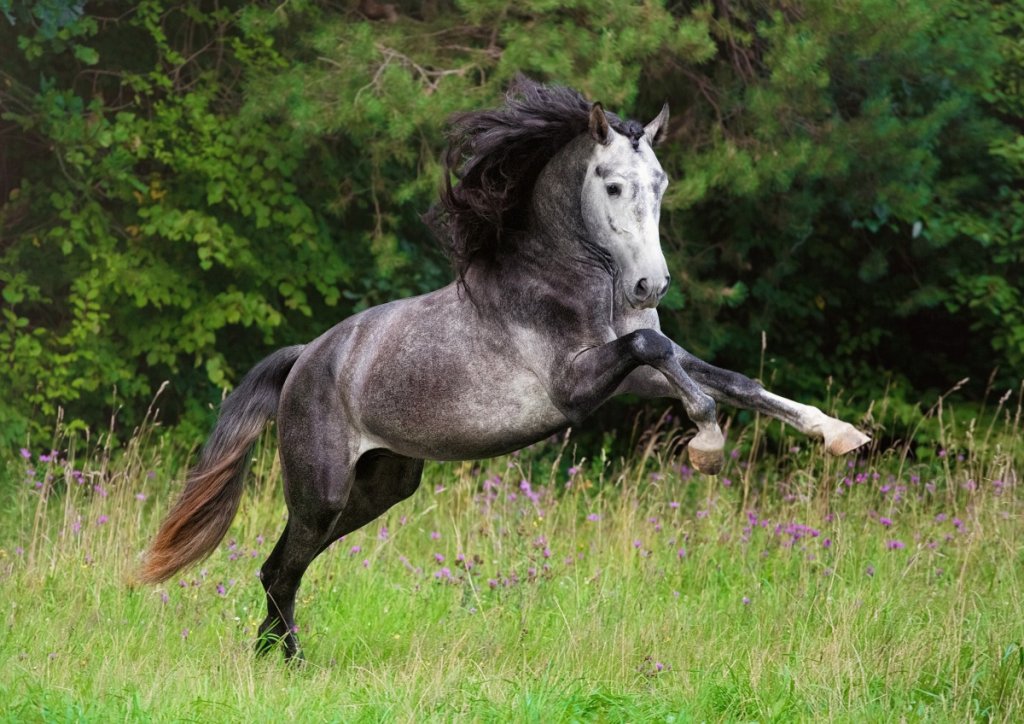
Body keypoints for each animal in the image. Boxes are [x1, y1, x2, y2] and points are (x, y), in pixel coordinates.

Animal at [140, 77, 870, 660]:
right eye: (612, 185)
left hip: (379, 487)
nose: (650, 287)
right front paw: (709, 446)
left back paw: (278, 656)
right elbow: (658, 351)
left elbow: (724, 376)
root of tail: (305, 360)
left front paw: (839, 434)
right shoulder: (575, 386)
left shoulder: (628, 376)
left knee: (283, 568)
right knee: (279, 570)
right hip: (321, 491)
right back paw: (283, 661)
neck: (562, 279)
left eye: (662, 184)